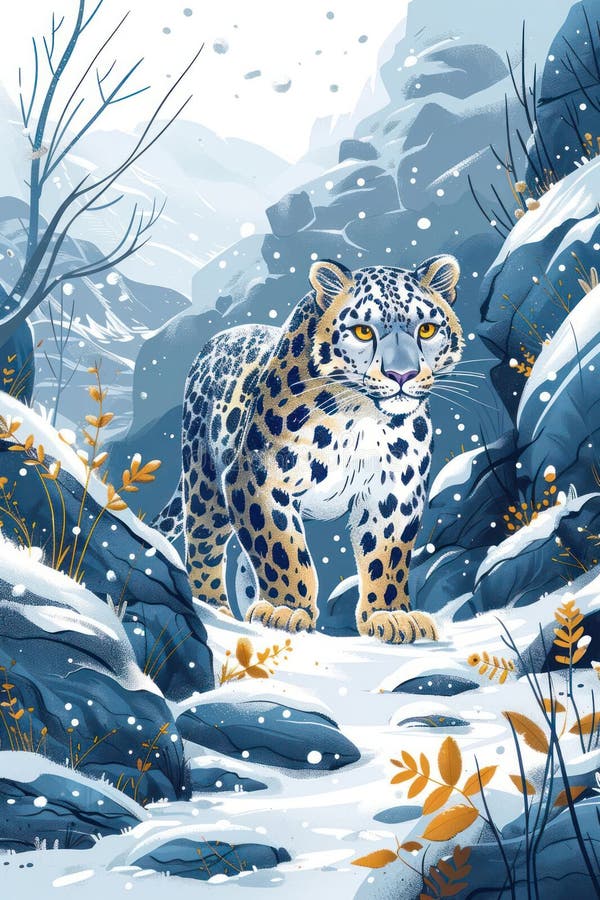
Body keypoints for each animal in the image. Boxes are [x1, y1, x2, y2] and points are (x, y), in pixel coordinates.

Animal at [155, 254, 463, 643]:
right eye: (363, 331)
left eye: (427, 329)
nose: (401, 375)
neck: (364, 418)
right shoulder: (257, 479)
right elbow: (280, 548)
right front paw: (285, 610)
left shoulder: (394, 491)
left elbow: (386, 556)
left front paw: (391, 616)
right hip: (204, 480)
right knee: (203, 545)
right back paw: (215, 610)